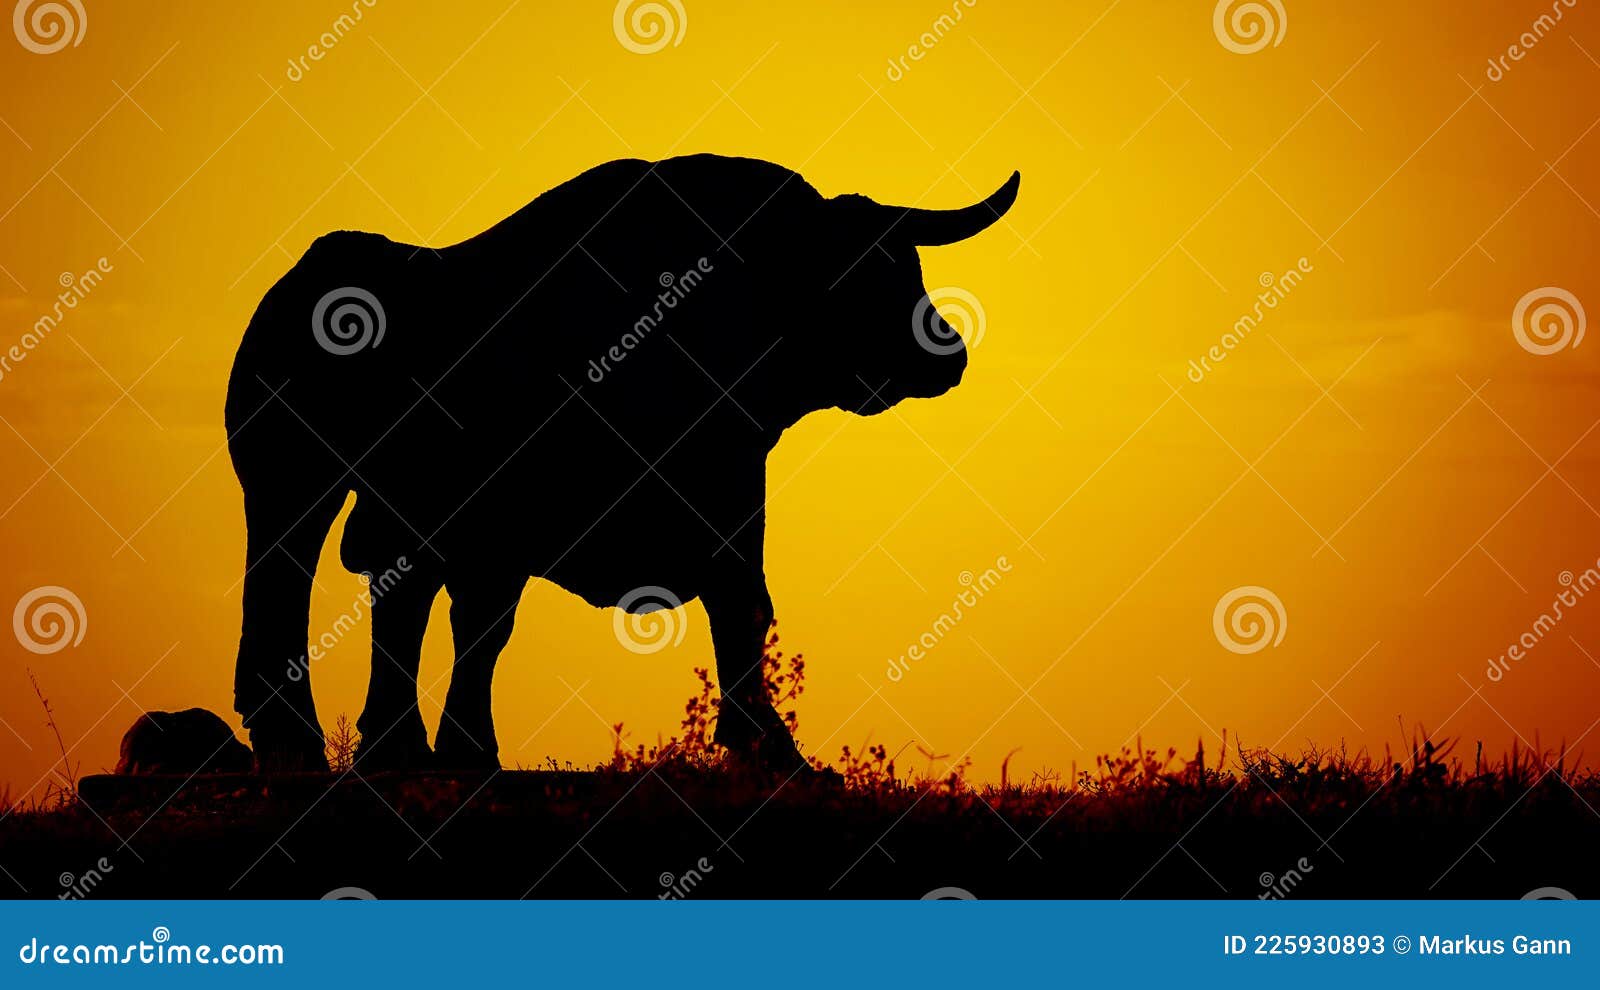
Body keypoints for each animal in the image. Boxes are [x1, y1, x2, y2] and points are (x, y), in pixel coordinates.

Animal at [225, 154, 1019, 774]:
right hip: (287, 485)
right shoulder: (502, 523)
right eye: (865, 273)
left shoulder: (726, 487)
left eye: (908, 262)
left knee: (392, 597)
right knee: (287, 584)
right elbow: (489, 623)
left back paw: (383, 745)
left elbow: (740, 604)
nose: (947, 351)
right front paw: (773, 749)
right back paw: (296, 737)